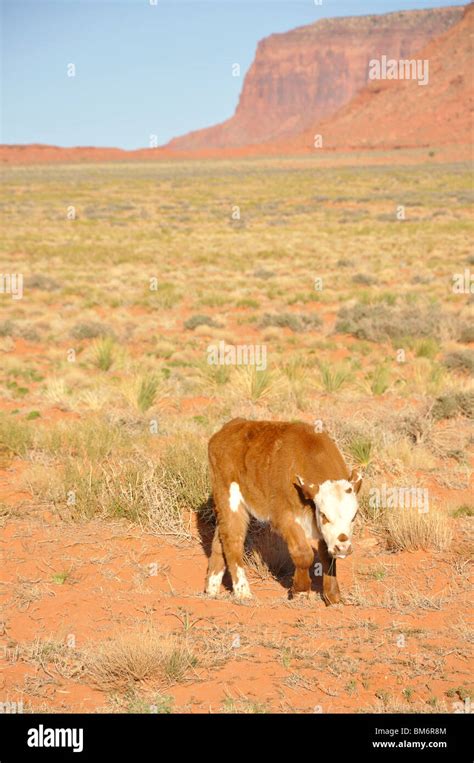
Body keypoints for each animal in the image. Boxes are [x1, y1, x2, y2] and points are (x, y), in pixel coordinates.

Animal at [205, 418, 363, 605]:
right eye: (324, 515)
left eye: (353, 516)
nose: (343, 548)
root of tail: (230, 426)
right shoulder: (283, 516)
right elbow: (303, 553)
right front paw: (300, 591)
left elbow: (327, 556)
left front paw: (333, 597)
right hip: (227, 496)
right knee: (232, 539)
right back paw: (242, 591)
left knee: (219, 538)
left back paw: (212, 588)